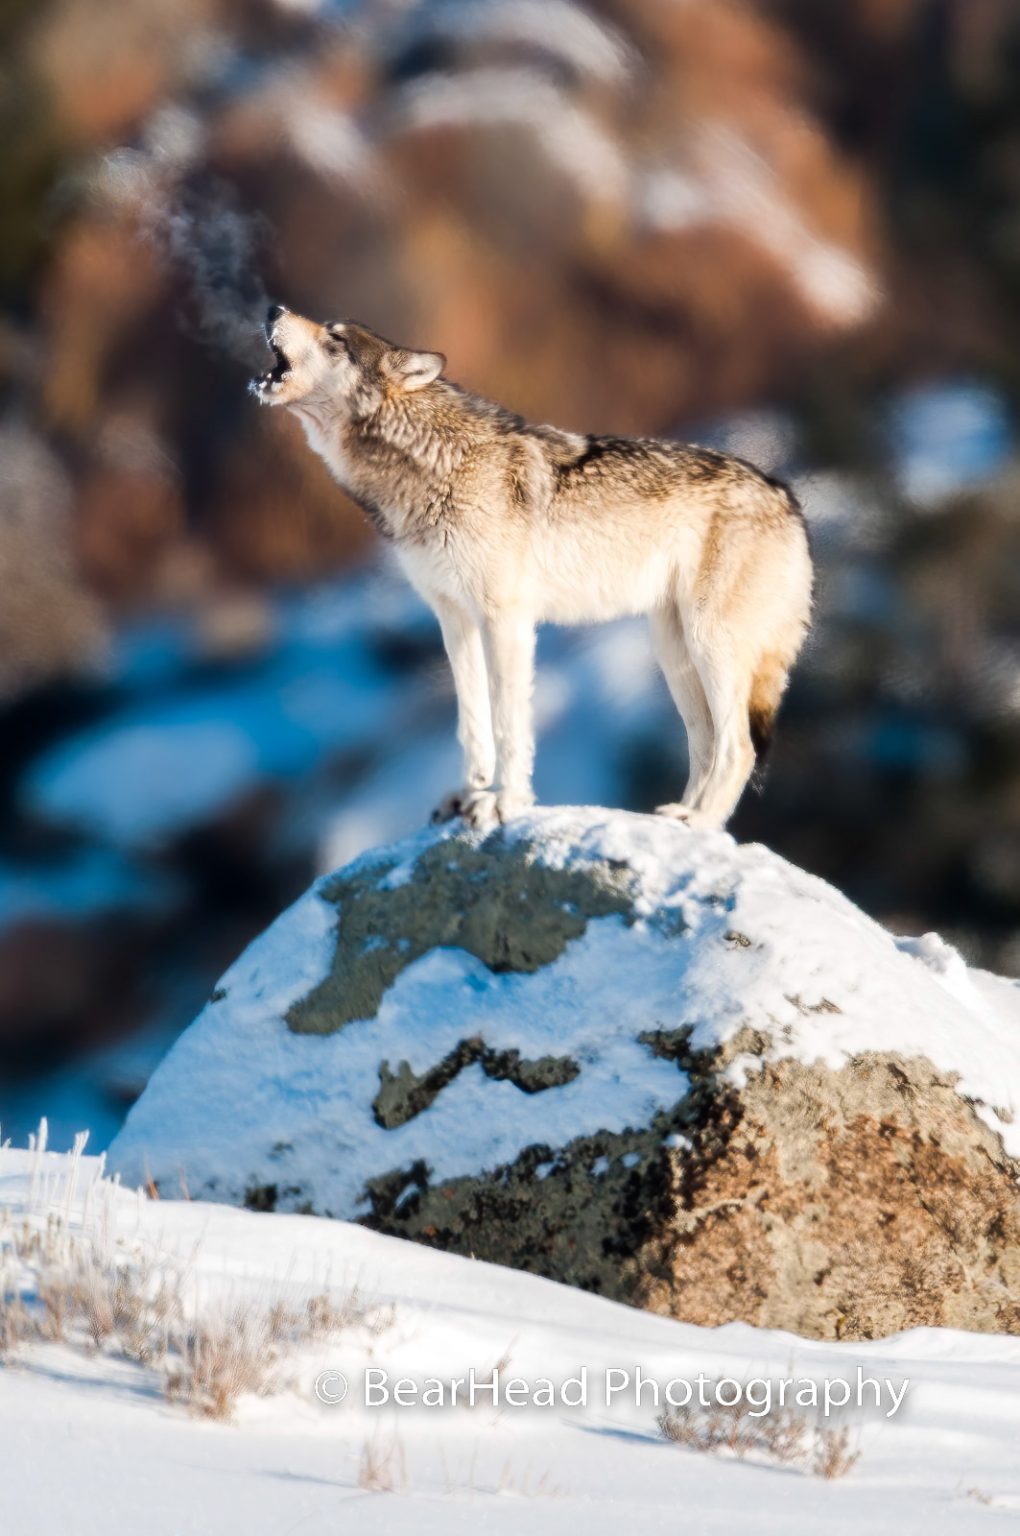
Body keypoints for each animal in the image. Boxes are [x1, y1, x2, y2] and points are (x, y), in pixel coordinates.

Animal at [251, 305, 813, 830]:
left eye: (335, 337)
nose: (273, 310)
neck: (431, 462)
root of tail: (786, 496)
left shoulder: (505, 619)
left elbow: (507, 722)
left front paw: (505, 803)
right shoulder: (453, 619)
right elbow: (471, 722)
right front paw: (469, 796)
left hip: (709, 644)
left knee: (738, 747)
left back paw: (701, 822)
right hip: (674, 653)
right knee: (706, 743)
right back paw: (677, 819)